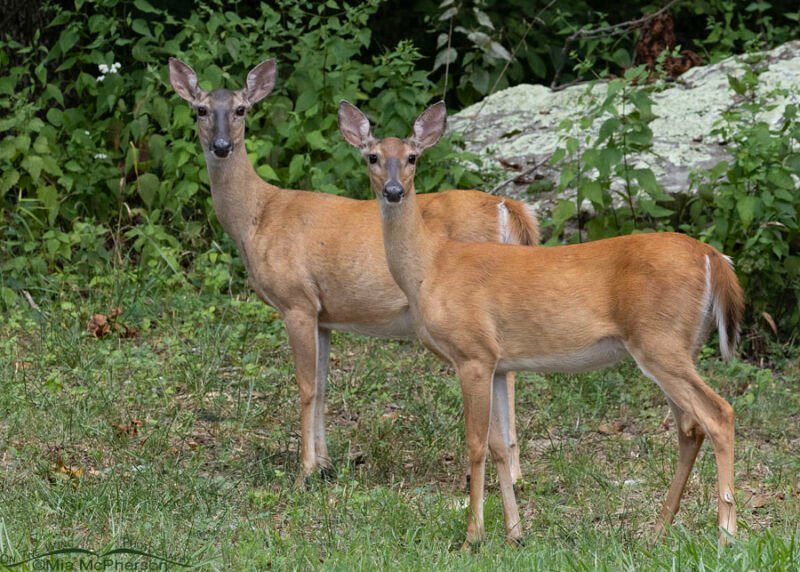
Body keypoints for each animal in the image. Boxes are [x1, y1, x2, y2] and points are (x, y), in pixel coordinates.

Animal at [168, 58, 539, 483]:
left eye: (241, 109)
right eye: (201, 110)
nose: (222, 146)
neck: (257, 217)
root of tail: (509, 207)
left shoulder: (296, 299)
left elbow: (306, 386)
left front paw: (305, 470)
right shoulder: (325, 314)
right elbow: (324, 387)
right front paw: (325, 464)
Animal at [339, 100, 744, 547]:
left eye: (412, 157)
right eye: (372, 156)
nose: (394, 191)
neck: (430, 268)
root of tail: (714, 257)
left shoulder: (472, 352)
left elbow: (475, 444)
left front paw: (472, 536)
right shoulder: (498, 362)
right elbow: (500, 445)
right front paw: (515, 533)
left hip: (660, 341)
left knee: (719, 414)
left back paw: (726, 533)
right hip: (676, 345)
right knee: (690, 428)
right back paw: (658, 528)